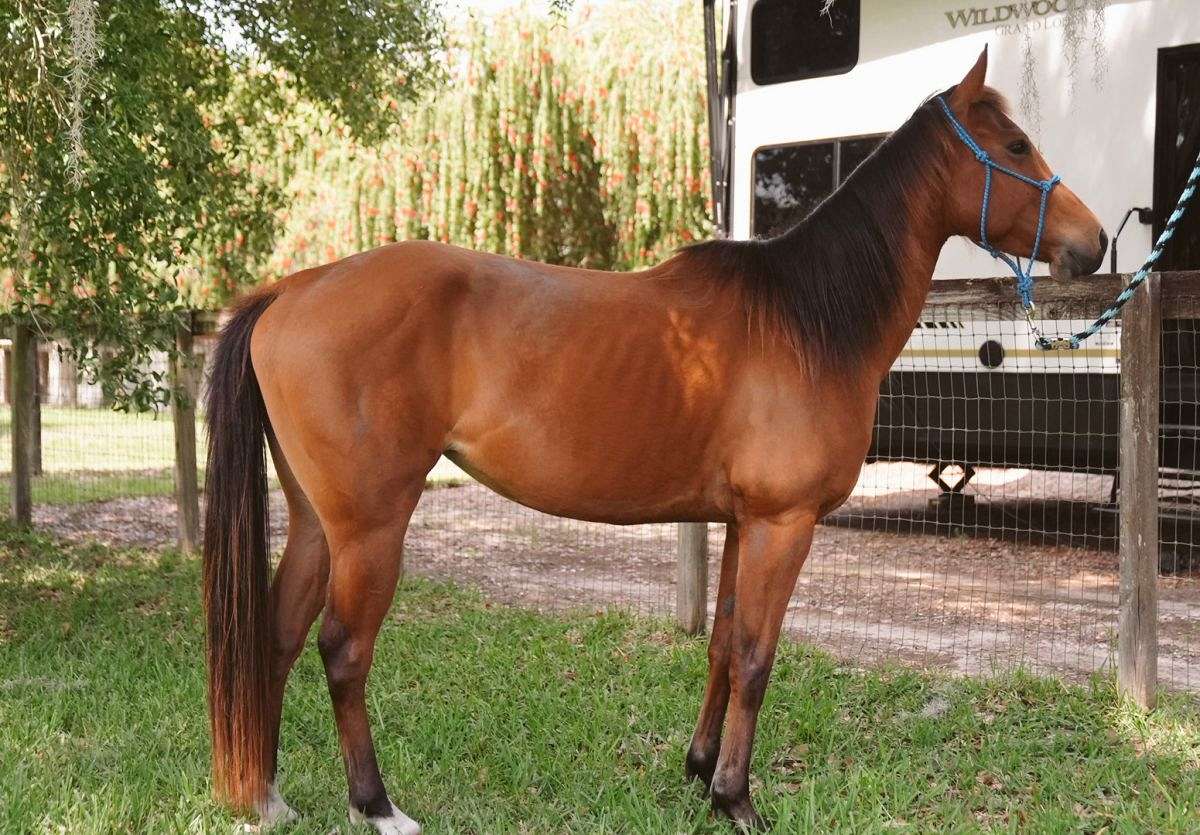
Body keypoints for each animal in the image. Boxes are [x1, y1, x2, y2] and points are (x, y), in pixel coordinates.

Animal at [202, 48, 1106, 832]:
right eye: (1015, 145)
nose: (1093, 244)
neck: (805, 321)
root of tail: (293, 289)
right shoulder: (783, 524)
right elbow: (756, 655)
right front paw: (739, 799)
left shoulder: (744, 522)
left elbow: (721, 642)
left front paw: (702, 771)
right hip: (371, 527)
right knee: (343, 649)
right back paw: (377, 804)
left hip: (317, 521)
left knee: (277, 636)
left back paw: (270, 796)